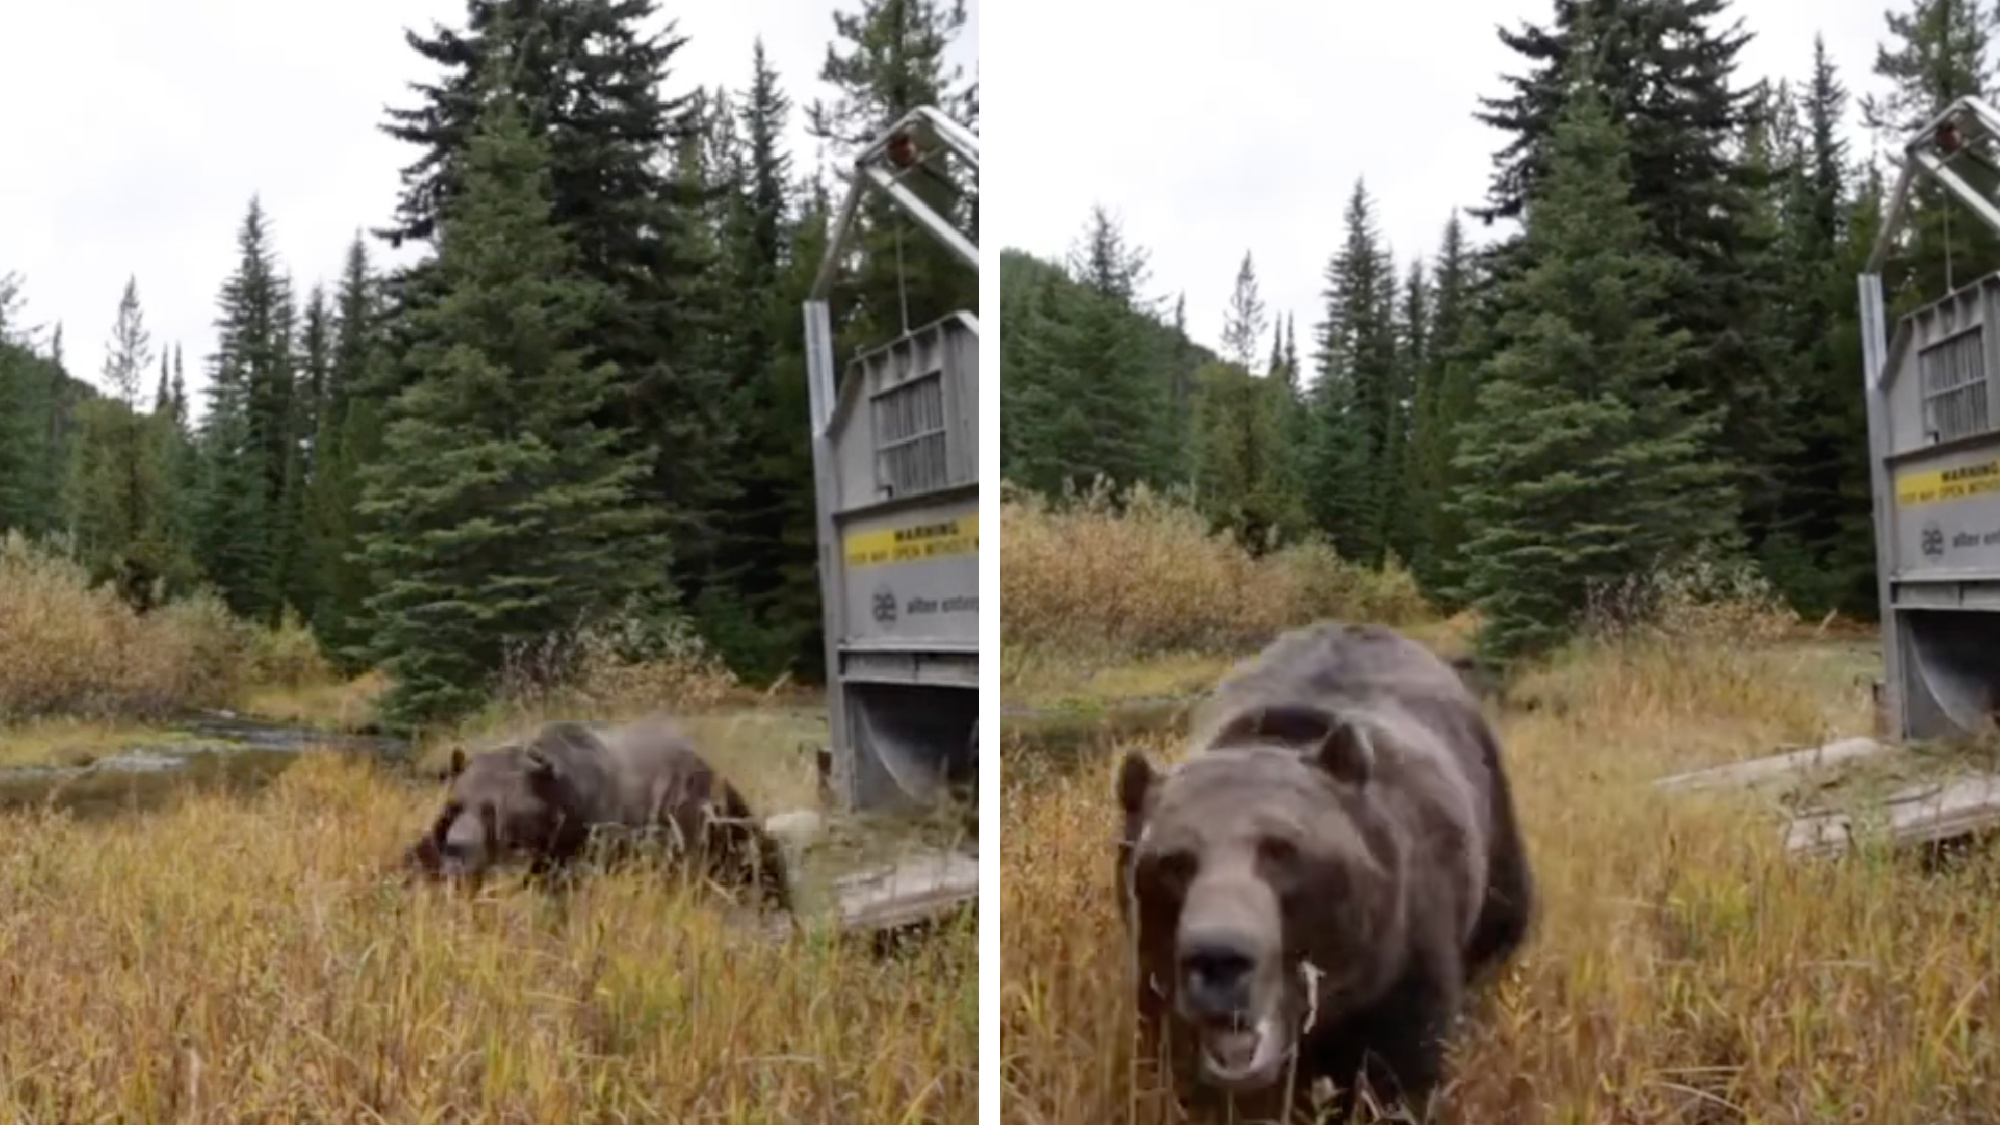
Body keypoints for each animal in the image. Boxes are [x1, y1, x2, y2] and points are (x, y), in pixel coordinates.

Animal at [1114, 620, 1534, 1122]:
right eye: (1174, 862)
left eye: (1281, 850)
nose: (1218, 959)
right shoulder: (1158, 989)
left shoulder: (1403, 958)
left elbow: (1402, 1077)